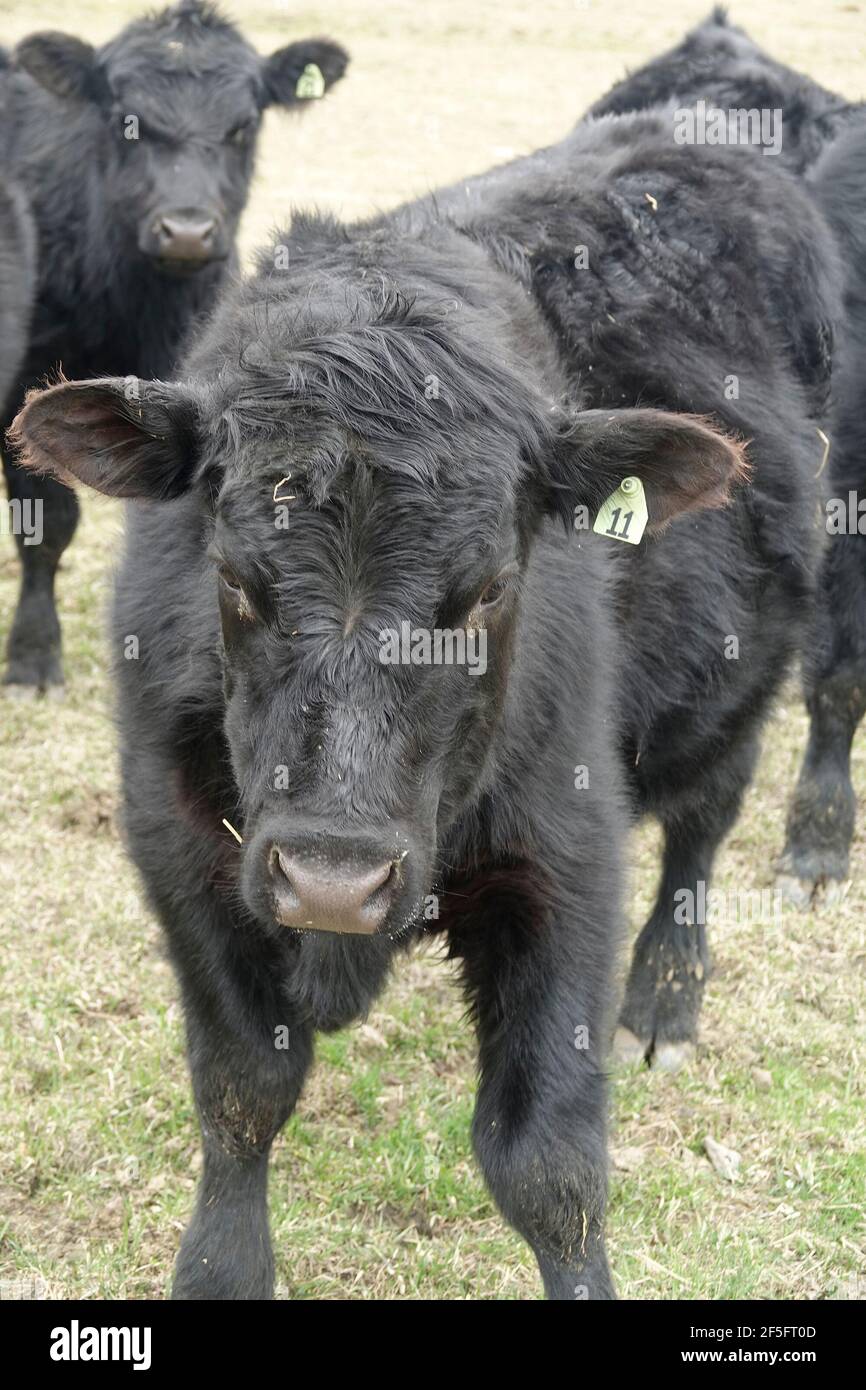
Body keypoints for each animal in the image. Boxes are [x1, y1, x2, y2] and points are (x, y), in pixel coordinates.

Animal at [1, 0, 348, 692]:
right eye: (124, 122)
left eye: (244, 125)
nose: (186, 231)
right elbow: (45, 523)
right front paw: (32, 653)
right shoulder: (25, 383)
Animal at [10, 105, 839, 1297]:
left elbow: (548, 1165)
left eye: (489, 586)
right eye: (233, 575)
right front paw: (220, 1265)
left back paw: (668, 997)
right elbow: (241, 1088)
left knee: (702, 833)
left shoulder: (568, 852)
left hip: (744, 686)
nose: (333, 878)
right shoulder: (175, 836)